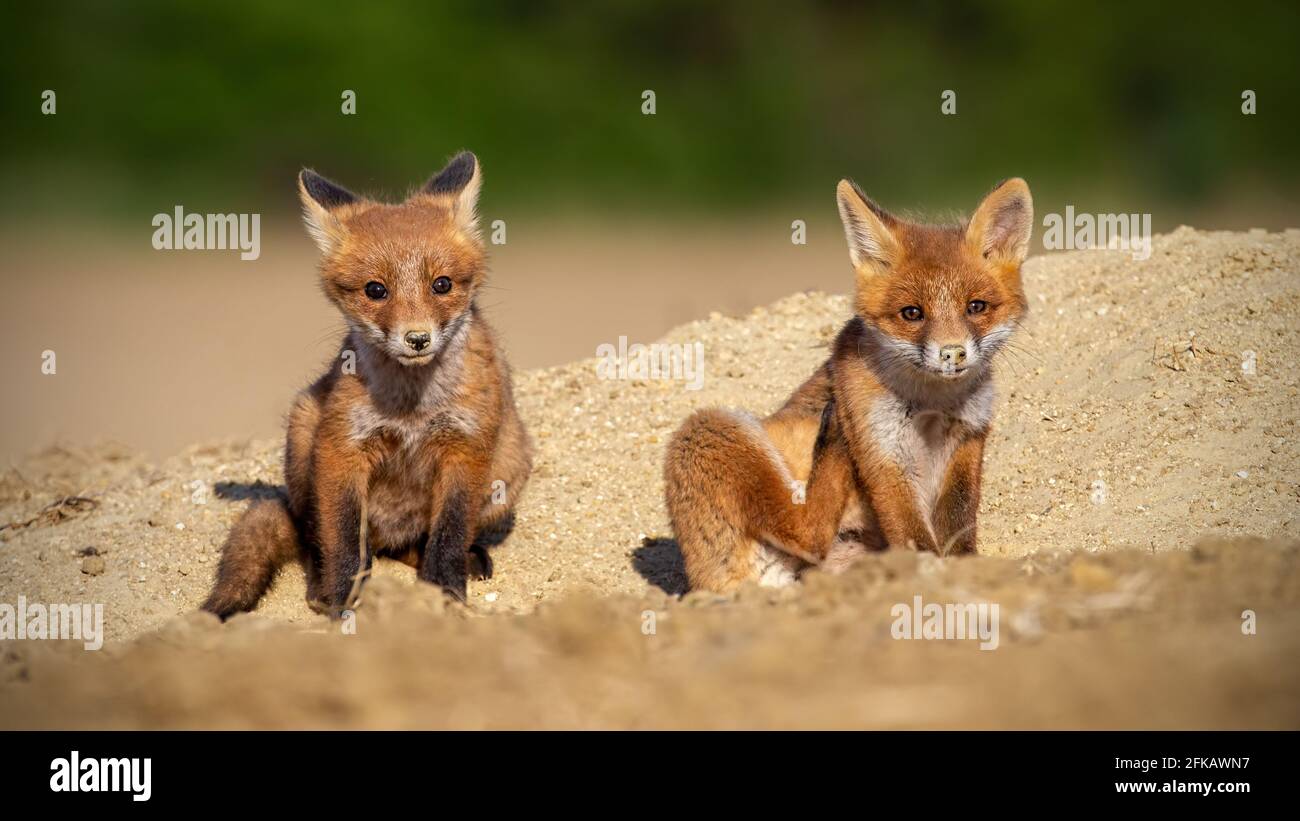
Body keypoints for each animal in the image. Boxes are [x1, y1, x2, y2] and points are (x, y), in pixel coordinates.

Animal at [202, 151, 532, 618]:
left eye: (442, 284)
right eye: (376, 290)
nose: (417, 339)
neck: (413, 407)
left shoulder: (467, 448)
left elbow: (449, 534)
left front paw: (446, 594)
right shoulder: (341, 448)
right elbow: (343, 539)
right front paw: (344, 600)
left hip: (510, 464)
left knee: (416, 544)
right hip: (304, 432)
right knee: (324, 539)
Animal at [664, 177, 1033, 592]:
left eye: (976, 307)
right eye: (912, 313)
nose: (952, 353)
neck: (933, 404)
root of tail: (701, 585)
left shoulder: (968, 439)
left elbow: (959, 525)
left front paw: (966, 571)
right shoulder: (882, 450)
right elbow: (913, 535)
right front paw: (930, 574)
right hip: (708, 427)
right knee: (805, 531)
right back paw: (832, 435)